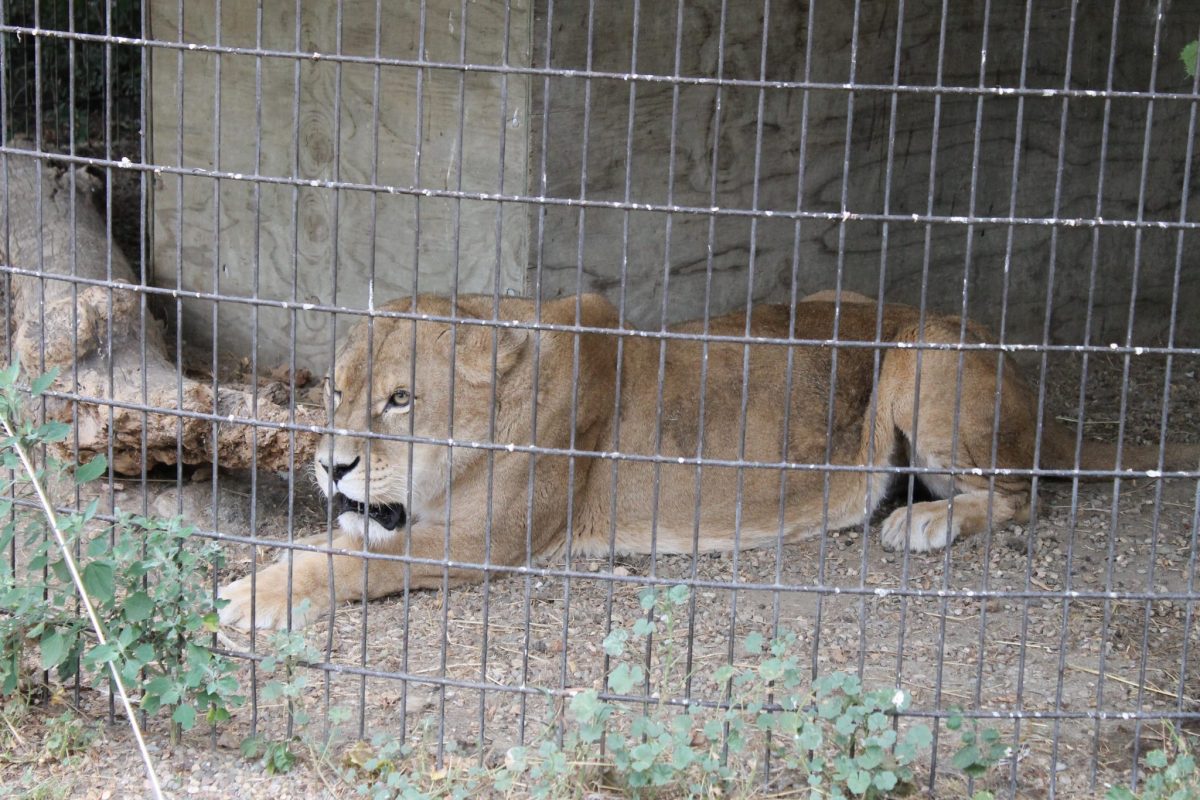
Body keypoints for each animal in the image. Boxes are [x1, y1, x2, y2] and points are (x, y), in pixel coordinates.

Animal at [218, 291, 1199, 629]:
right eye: (335, 389)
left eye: (400, 400)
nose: (332, 468)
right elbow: (341, 542)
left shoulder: (485, 543)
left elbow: (346, 560)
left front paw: (251, 596)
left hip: (921, 352)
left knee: (1027, 490)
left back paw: (924, 519)